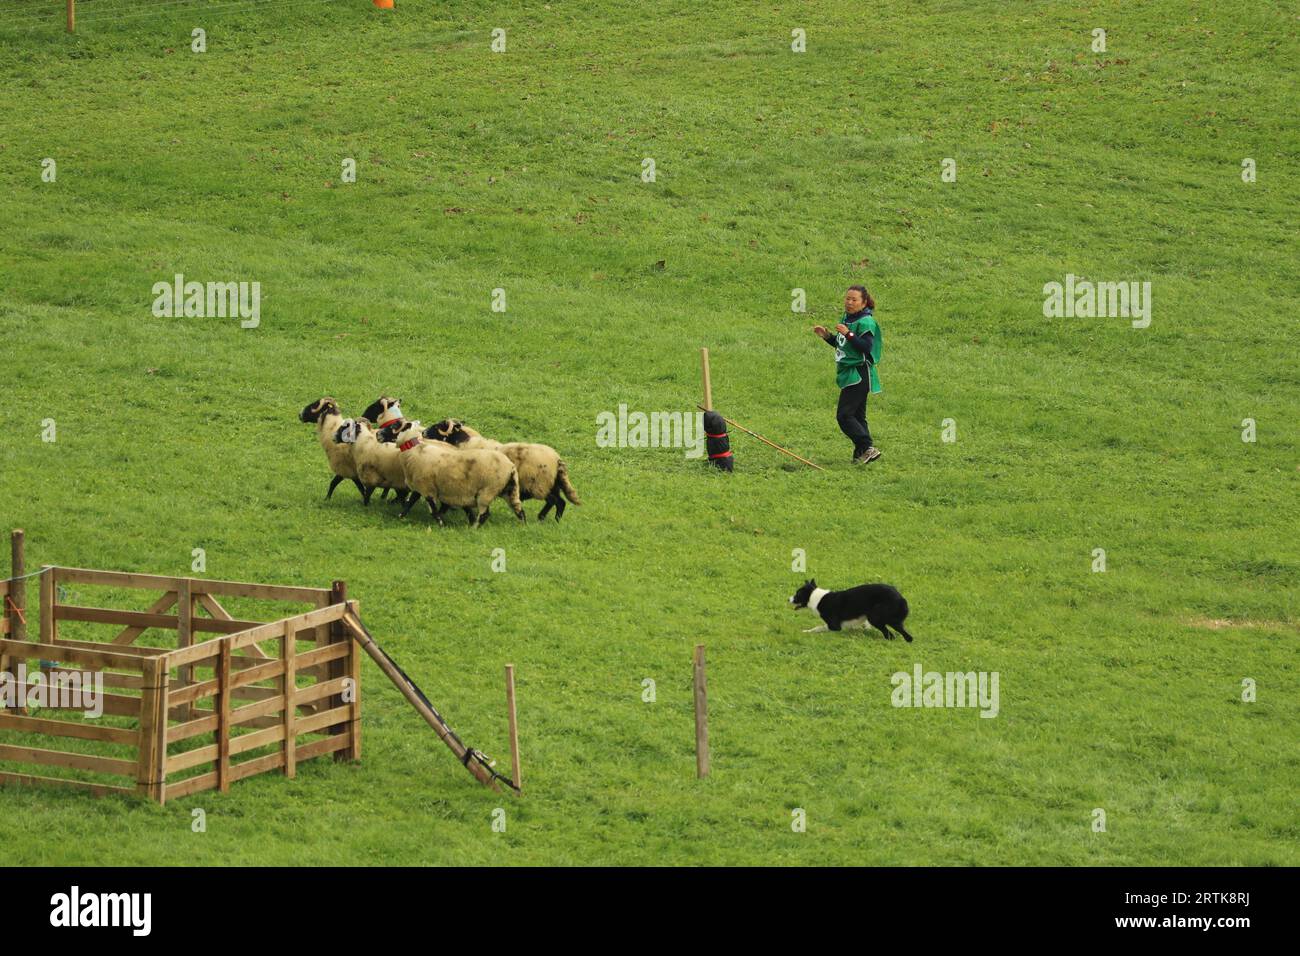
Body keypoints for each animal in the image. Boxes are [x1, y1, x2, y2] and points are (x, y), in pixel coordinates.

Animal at [378, 420, 525, 527]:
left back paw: (474, 528)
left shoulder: (427, 487)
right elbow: (411, 502)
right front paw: (401, 516)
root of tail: (511, 466)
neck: (416, 448)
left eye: (394, 425)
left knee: (484, 514)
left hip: (487, 491)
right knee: (519, 510)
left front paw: (440, 523)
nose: (378, 434)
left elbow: (432, 509)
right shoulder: (424, 486)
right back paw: (523, 526)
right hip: (509, 490)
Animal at [425, 419, 581, 521]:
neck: (464, 441)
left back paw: (544, 518)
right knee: (560, 502)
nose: (424, 432)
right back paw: (553, 520)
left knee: (553, 501)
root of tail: (557, 459)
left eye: (438, 426)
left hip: (539, 486)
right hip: (553, 485)